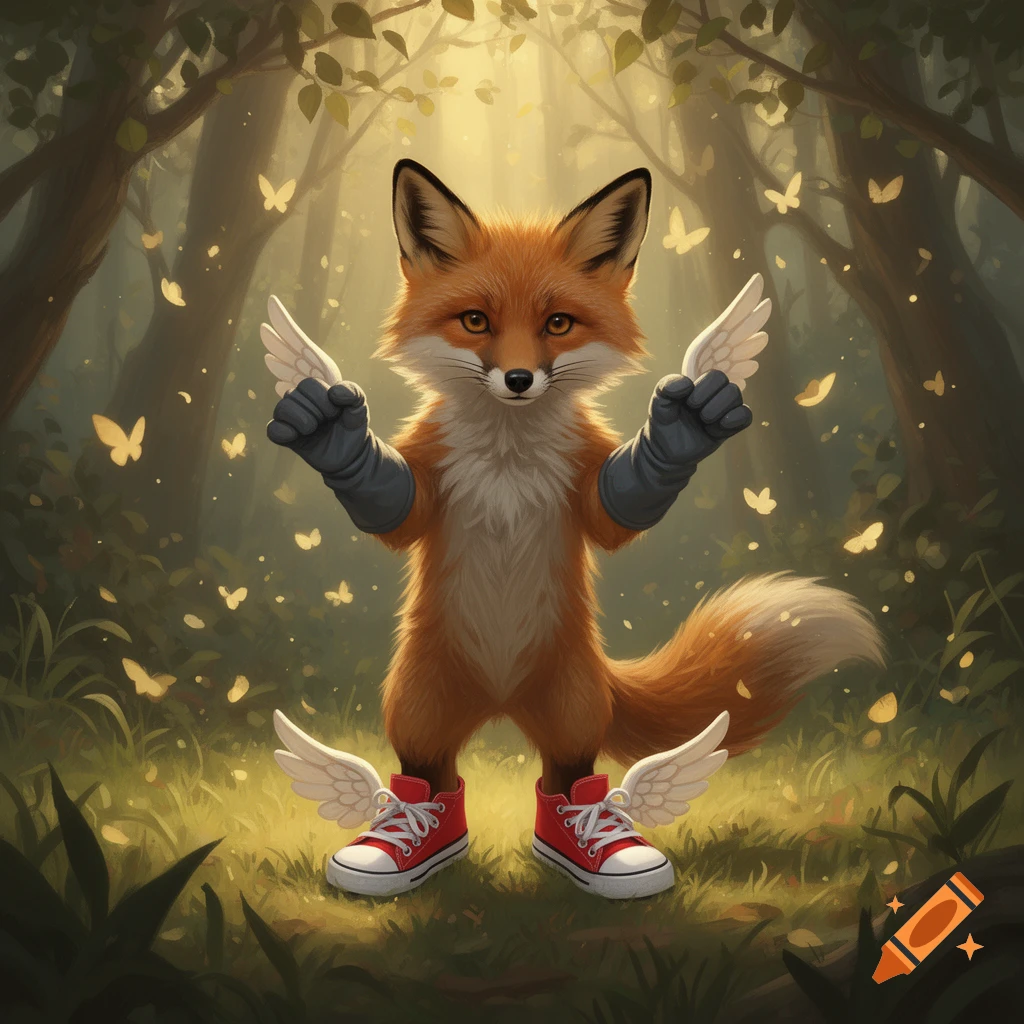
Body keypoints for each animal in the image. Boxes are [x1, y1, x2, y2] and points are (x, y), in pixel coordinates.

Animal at [262, 160, 884, 899]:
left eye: (557, 323)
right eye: (476, 321)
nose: (519, 378)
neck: (508, 453)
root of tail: (502, 698)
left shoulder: (589, 478)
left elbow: (618, 506)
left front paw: (681, 432)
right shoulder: (425, 474)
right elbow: (392, 508)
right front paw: (334, 438)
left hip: (572, 706)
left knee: (568, 774)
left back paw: (594, 844)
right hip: (419, 701)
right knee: (430, 772)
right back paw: (408, 840)